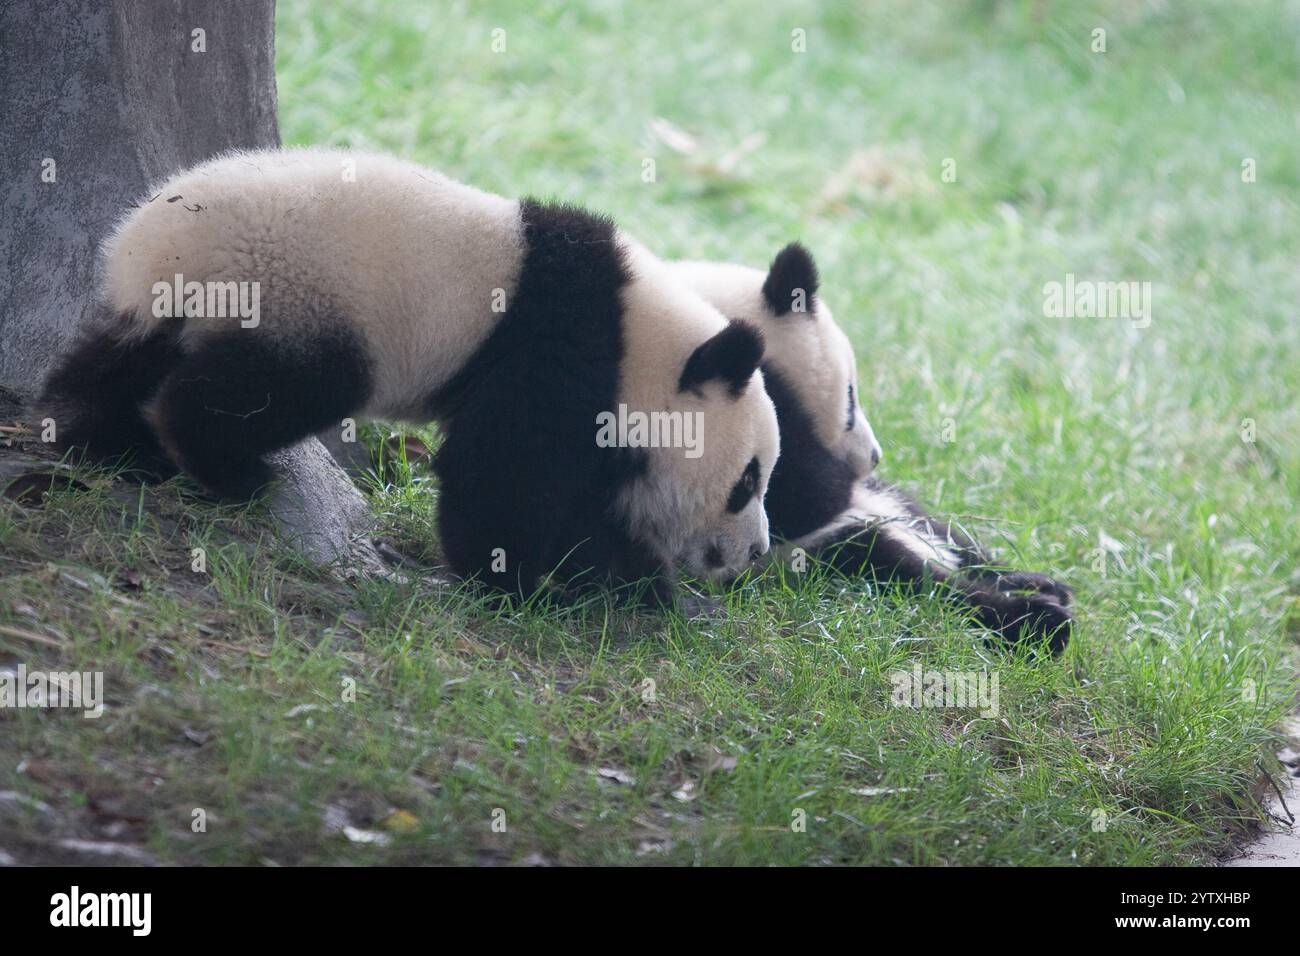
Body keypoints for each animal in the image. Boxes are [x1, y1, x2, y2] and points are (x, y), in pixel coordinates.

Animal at [38, 148, 782, 604]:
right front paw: (521, 583)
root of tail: (160, 246)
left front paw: (636, 584)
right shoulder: (558, 357)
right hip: (296, 296)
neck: (641, 342)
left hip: (169, 304)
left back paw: (103, 441)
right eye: (747, 482)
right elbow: (503, 473)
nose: (754, 556)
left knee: (120, 356)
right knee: (267, 389)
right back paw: (226, 469)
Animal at [668, 244, 1073, 653]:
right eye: (850, 398)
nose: (874, 458)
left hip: (889, 505)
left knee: (947, 535)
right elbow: (797, 493)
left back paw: (1032, 581)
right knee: (903, 572)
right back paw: (1036, 620)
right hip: (801, 555)